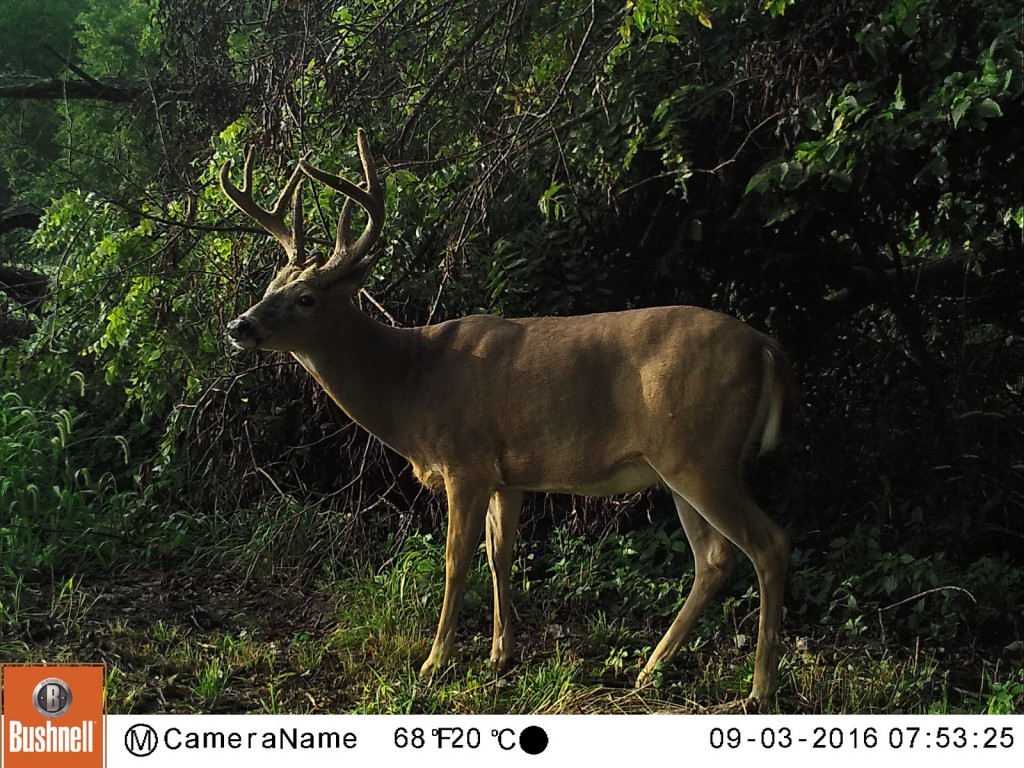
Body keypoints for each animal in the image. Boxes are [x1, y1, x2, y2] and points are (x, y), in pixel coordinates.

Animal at [220, 129, 794, 703]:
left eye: (306, 297)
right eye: (270, 285)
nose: (238, 325)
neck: (411, 382)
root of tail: (766, 346)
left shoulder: (466, 463)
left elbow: (456, 560)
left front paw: (435, 662)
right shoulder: (508, 474)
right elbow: (502, 555)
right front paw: (501, 655)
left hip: (701, 454)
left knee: (769, 545)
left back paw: (759, 688)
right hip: (676, 465)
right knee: (714, 558)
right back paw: (651, 669)